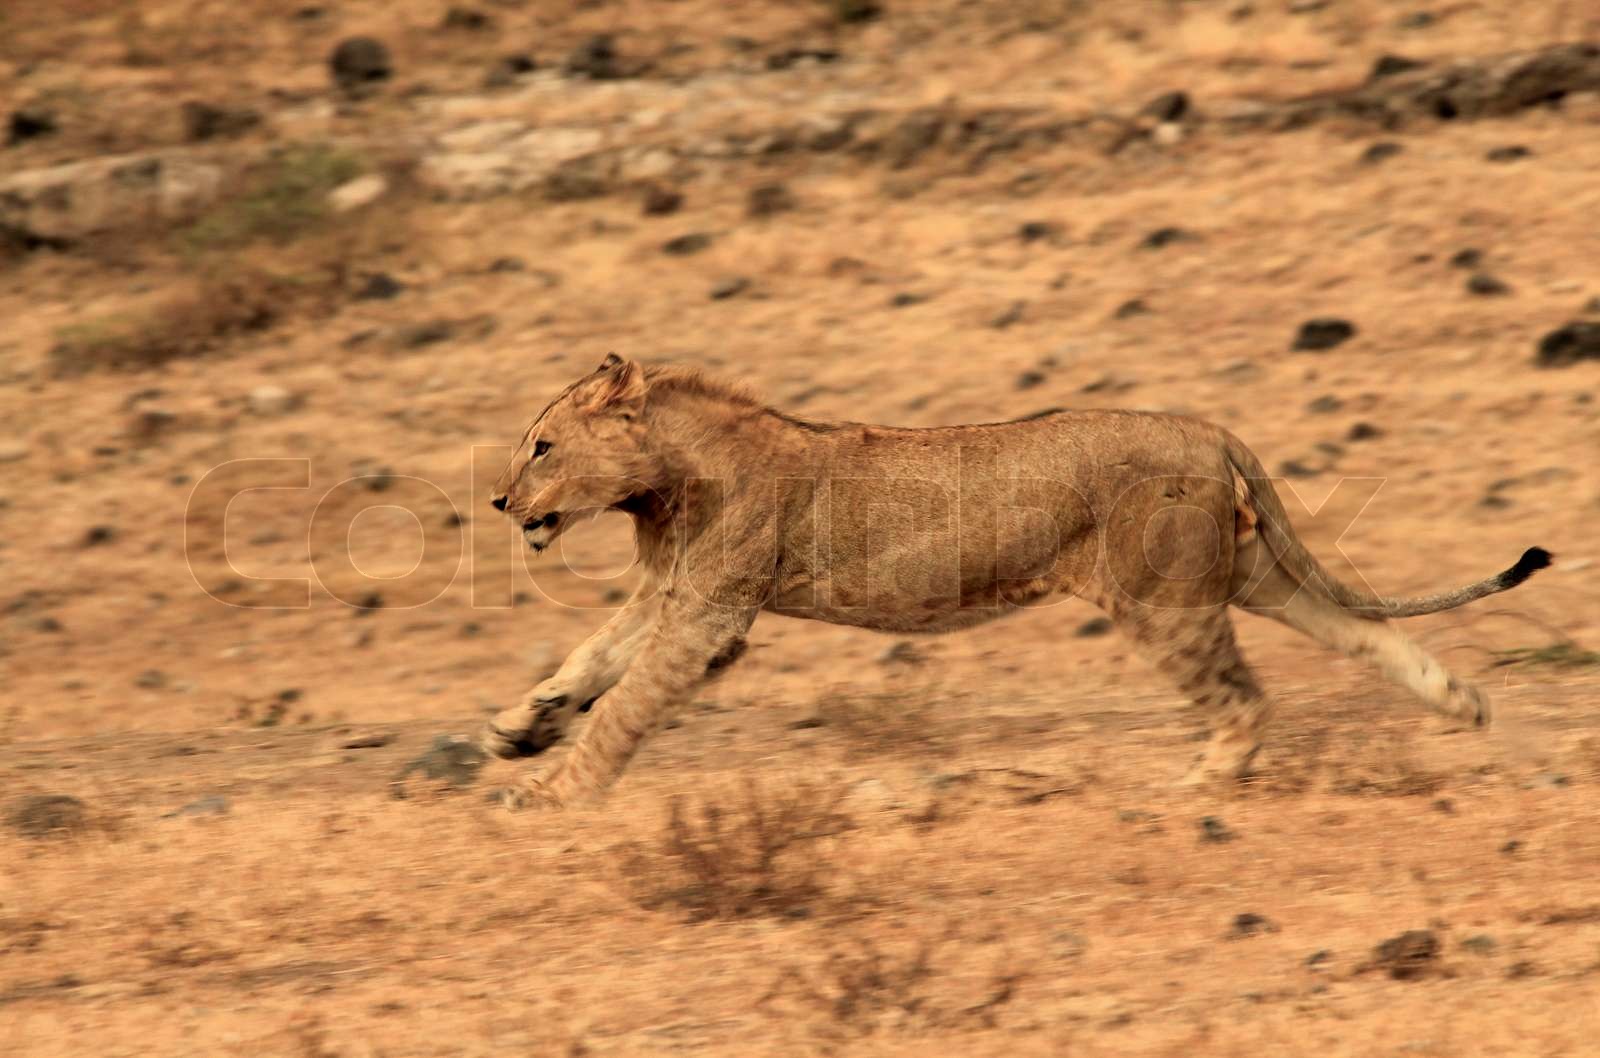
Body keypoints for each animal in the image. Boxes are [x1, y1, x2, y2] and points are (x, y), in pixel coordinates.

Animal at [483, 354, 1551, 809]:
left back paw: (1200, 783)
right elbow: (587, 662)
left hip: (1160, 596)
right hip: (1243, 570)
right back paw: (1465, 705)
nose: (499, 501)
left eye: (542, 446)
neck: (659, 485)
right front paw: (517, 733)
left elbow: (626, 706)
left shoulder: (710, 611)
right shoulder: (672, 593)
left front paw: (551, 794)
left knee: (1246, 699)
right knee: (1361, 630)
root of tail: (1203, 426)